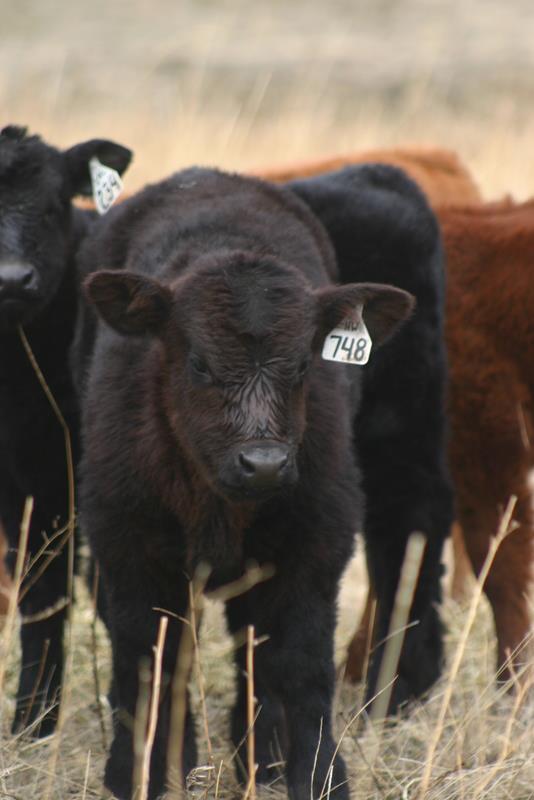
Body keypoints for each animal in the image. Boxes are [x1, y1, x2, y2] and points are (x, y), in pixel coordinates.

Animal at [74, 166, 416, 800]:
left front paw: (316, 774)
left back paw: (263, 756)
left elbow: (298, 663)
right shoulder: (127, 543)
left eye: (304, 364)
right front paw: (139, 772)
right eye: (199, 364)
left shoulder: (316, 544)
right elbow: (148, 656)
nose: (264, 463)